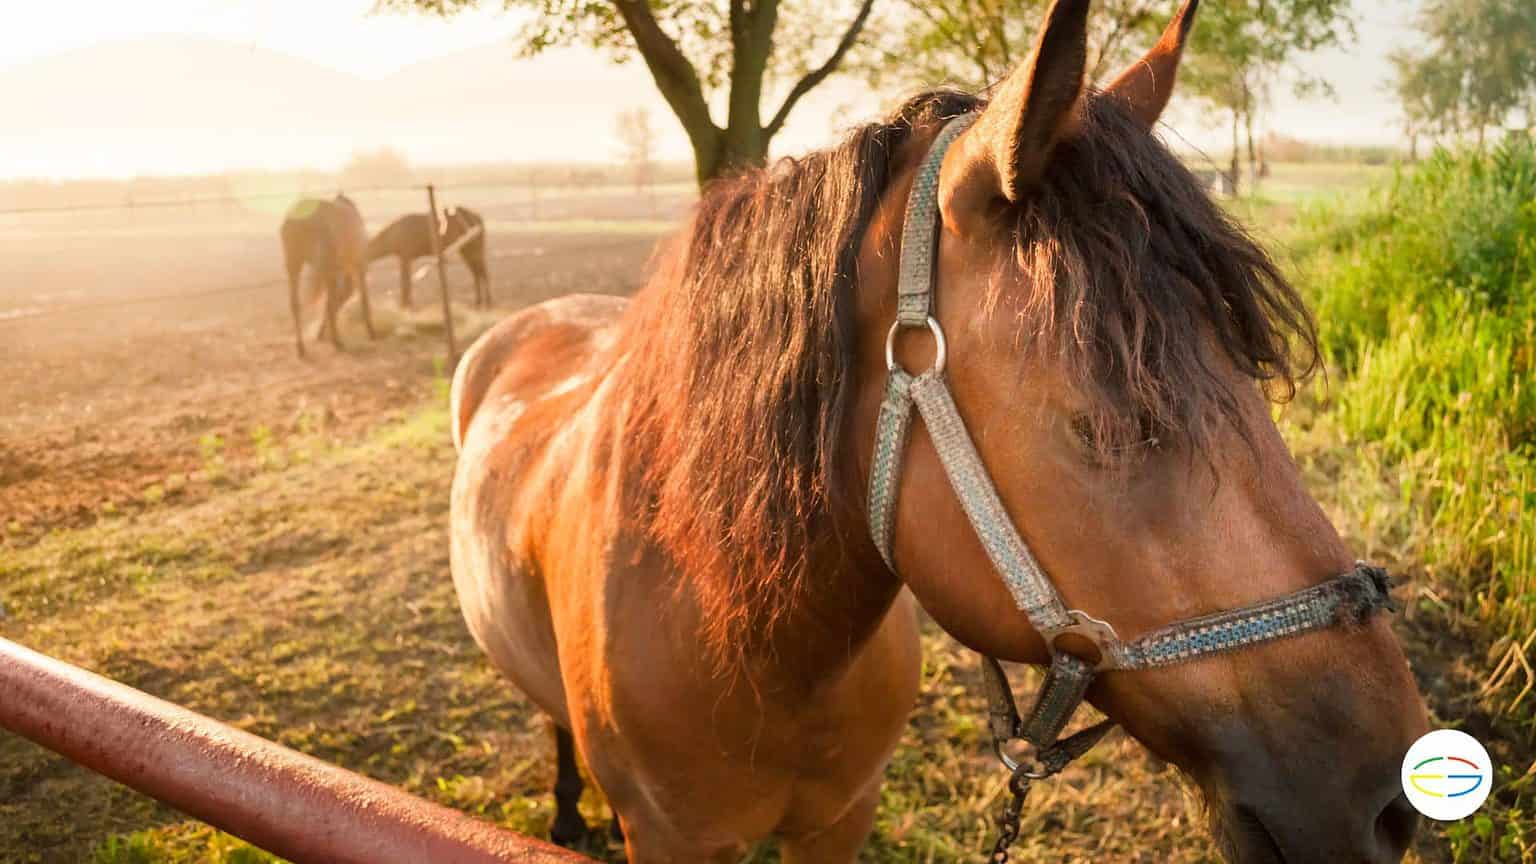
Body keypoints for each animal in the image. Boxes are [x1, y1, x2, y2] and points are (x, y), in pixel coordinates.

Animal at [279, 194, 375, 357]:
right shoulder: (358, 267)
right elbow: (362, 299)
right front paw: (371, 332)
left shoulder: (336, 272)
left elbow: (331, 302)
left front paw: (321, 334)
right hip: (324, 267)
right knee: (329, 303)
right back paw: (337, 342)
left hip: (294, 264)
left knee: (295, 304)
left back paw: (301, 347)